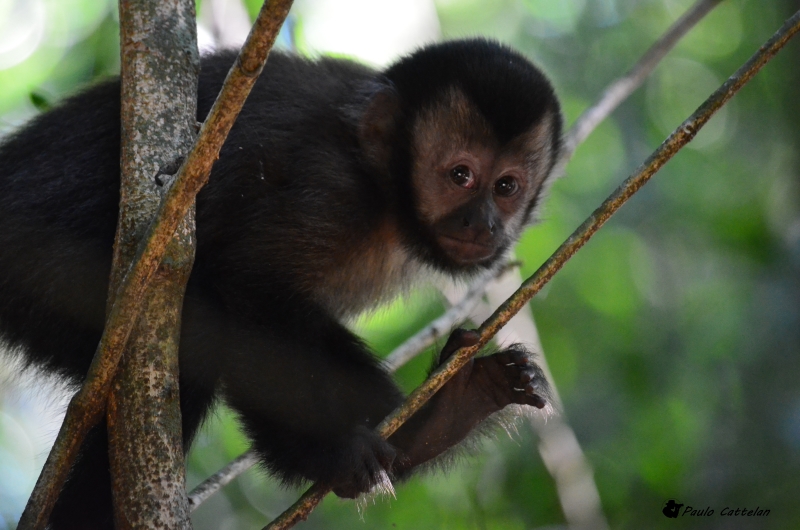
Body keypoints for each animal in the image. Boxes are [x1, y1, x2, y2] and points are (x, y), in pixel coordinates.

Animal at [0, 38, 561, 528]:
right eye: (460, 176)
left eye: (507, 187)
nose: (483, 223)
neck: (381, 189)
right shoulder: (326, 185)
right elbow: (249, 286)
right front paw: (329, 453)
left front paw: (440, 418)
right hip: (40, 275)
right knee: (193, 332)